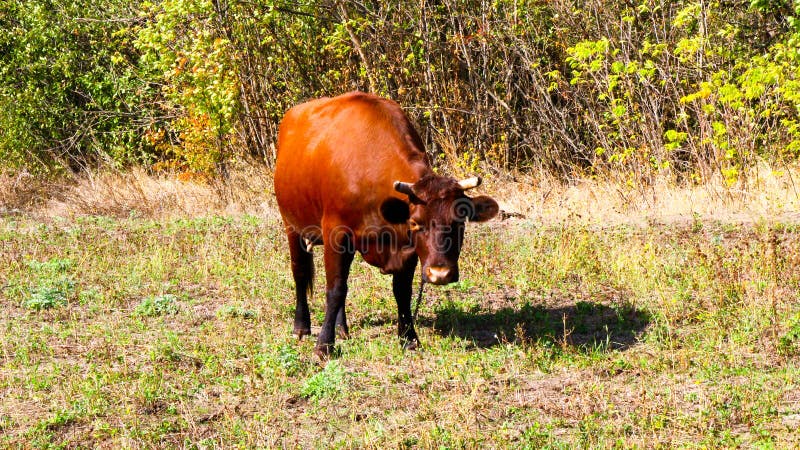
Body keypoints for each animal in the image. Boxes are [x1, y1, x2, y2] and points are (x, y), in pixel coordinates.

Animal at [274, 92, 499, 358]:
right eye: (416, 223)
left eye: (459, 222)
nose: (440, 274)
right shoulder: (336, 233)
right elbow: (335, 289)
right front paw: (324, 345)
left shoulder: (406, 250)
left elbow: (402, 291)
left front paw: (409, 338)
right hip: (291, 224)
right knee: (300, 272)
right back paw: (302, 326)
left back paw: (342, 328)